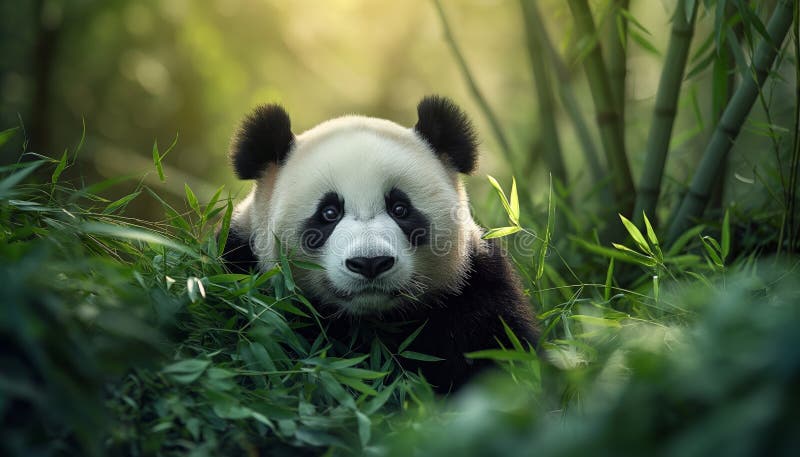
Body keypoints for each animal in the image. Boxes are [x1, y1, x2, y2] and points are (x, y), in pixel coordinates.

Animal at [221, 95, 538, 392]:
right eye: (329, 213)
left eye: (400, 208)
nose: (370, 263)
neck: (373, 319)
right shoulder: (242, 268)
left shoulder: (473, 288)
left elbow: (500, 351)